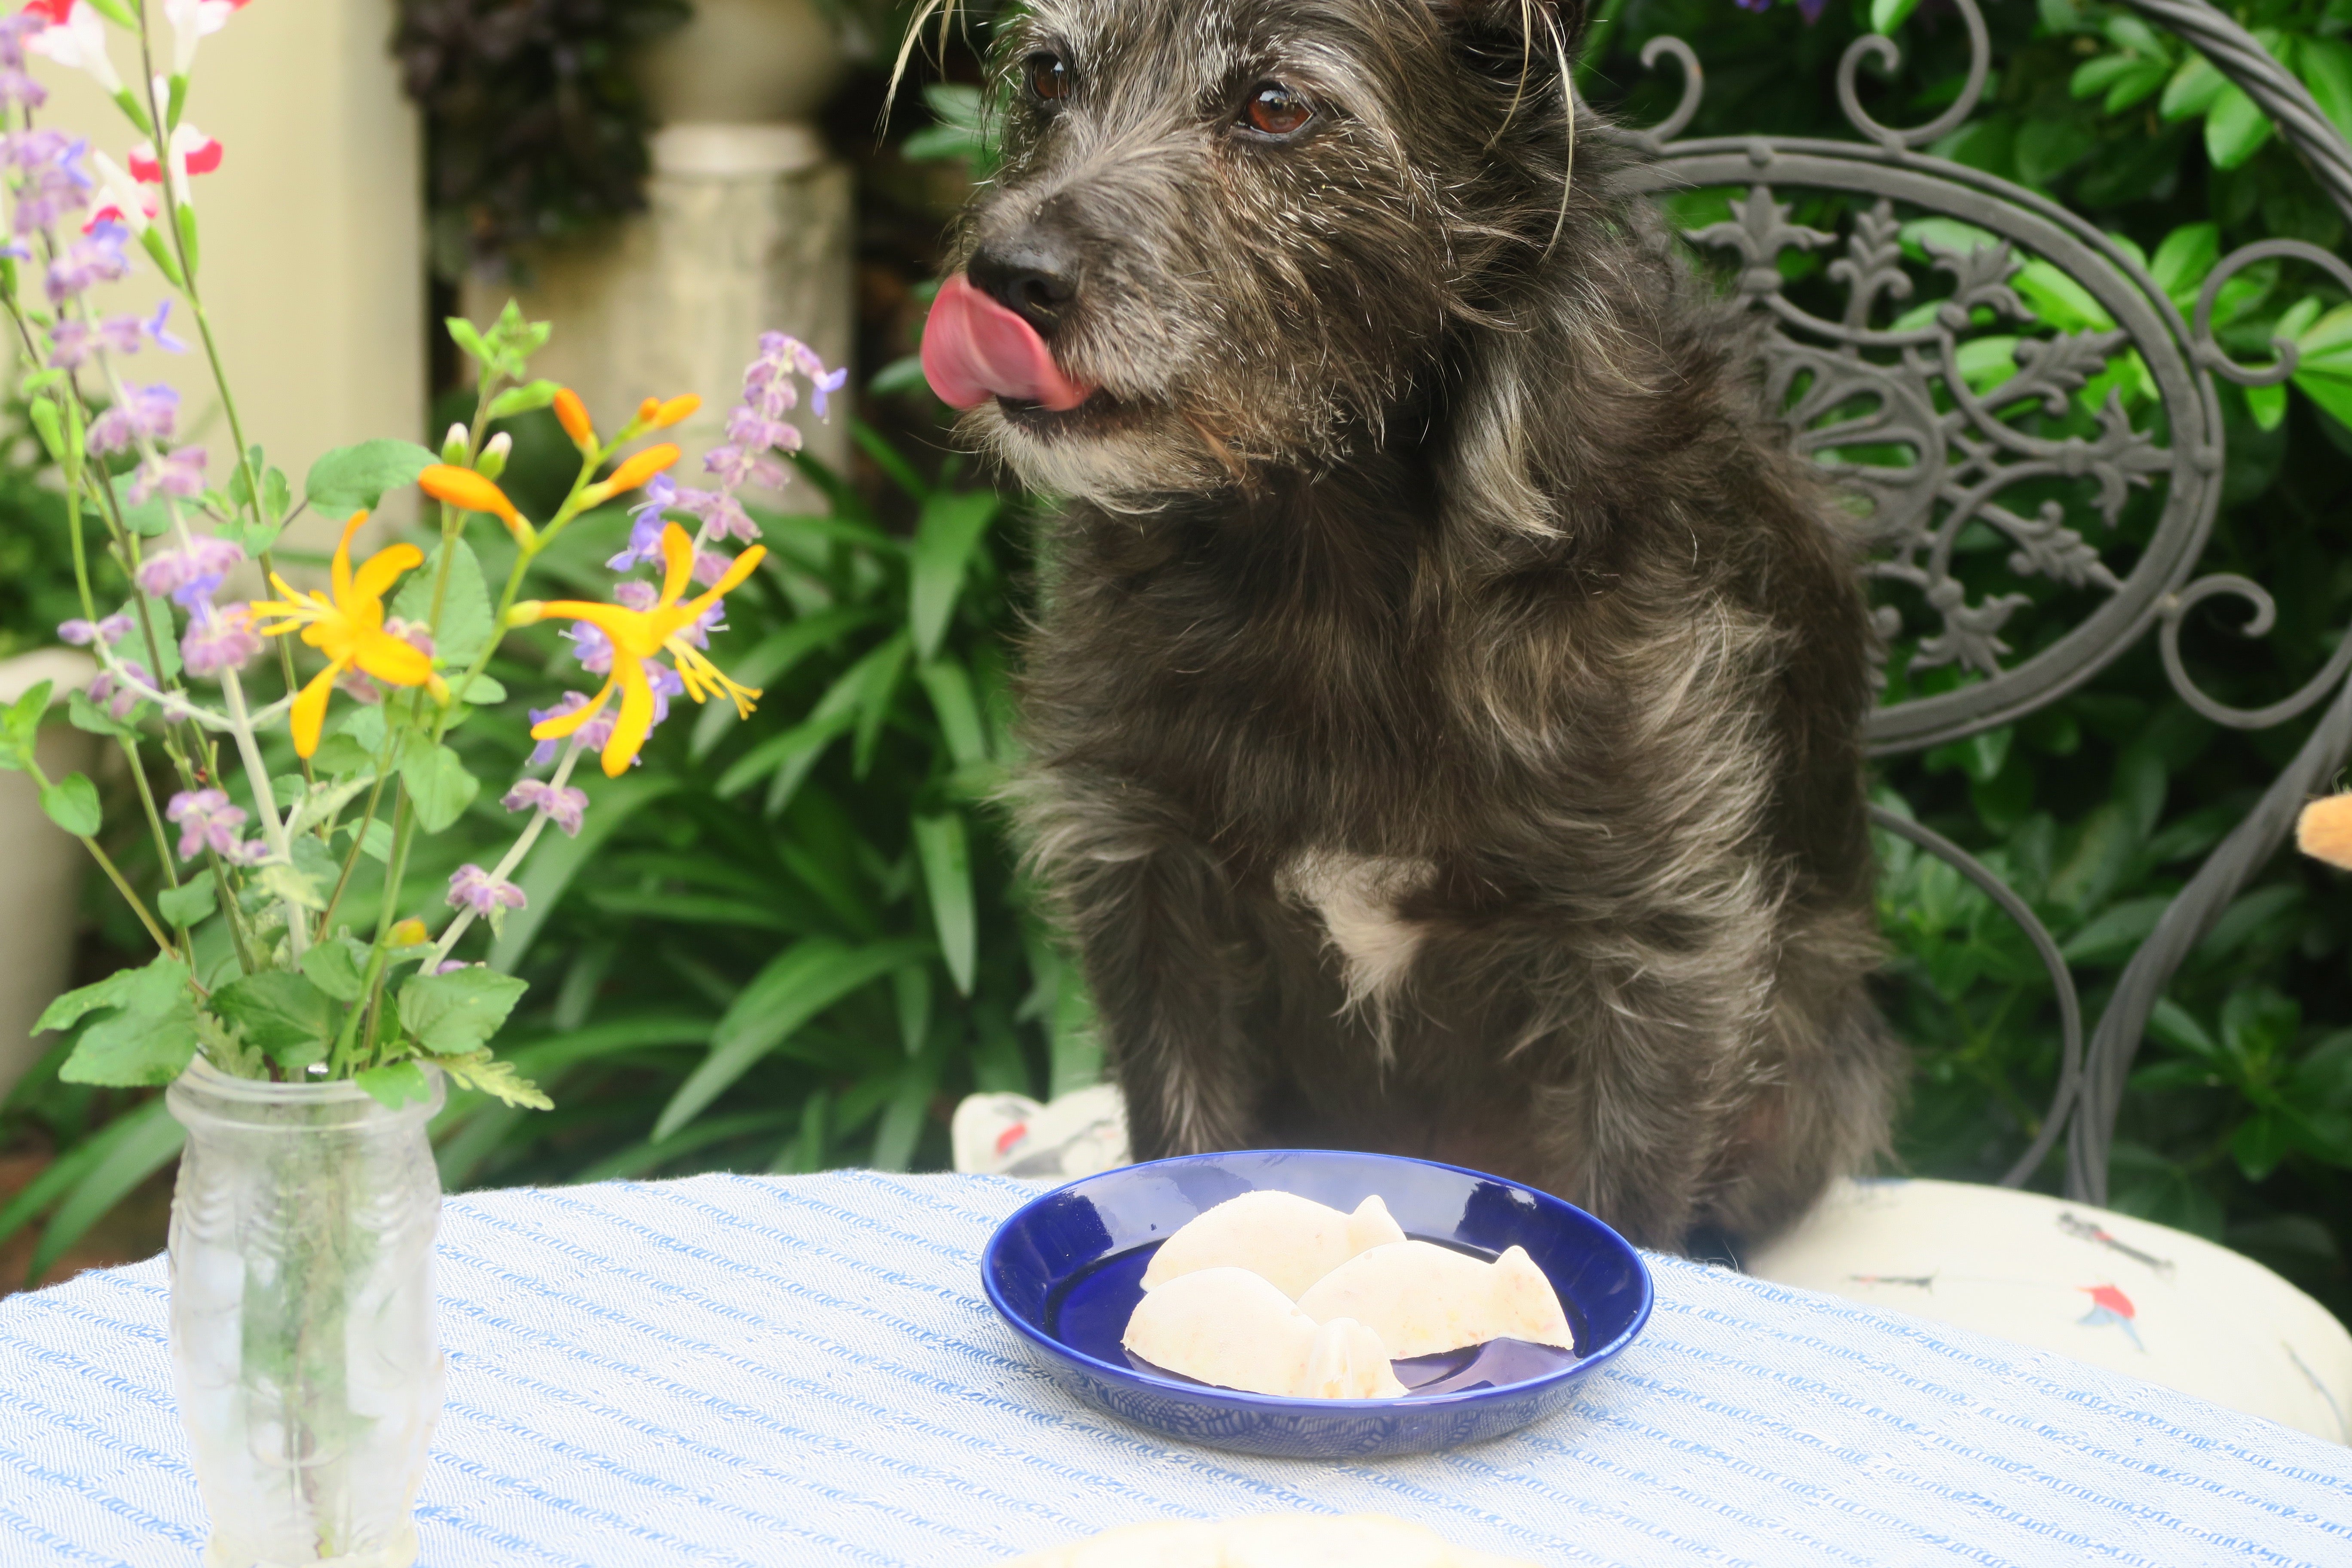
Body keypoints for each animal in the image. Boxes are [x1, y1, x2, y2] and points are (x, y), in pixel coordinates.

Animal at [917, 0, 1901, 1251]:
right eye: (1047, 75)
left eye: (1275, 106)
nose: (1007, 277)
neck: (1327, 552)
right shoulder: (1148, 874)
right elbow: (1181, 1137)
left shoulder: (1661, 948)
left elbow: (1626, 1201)